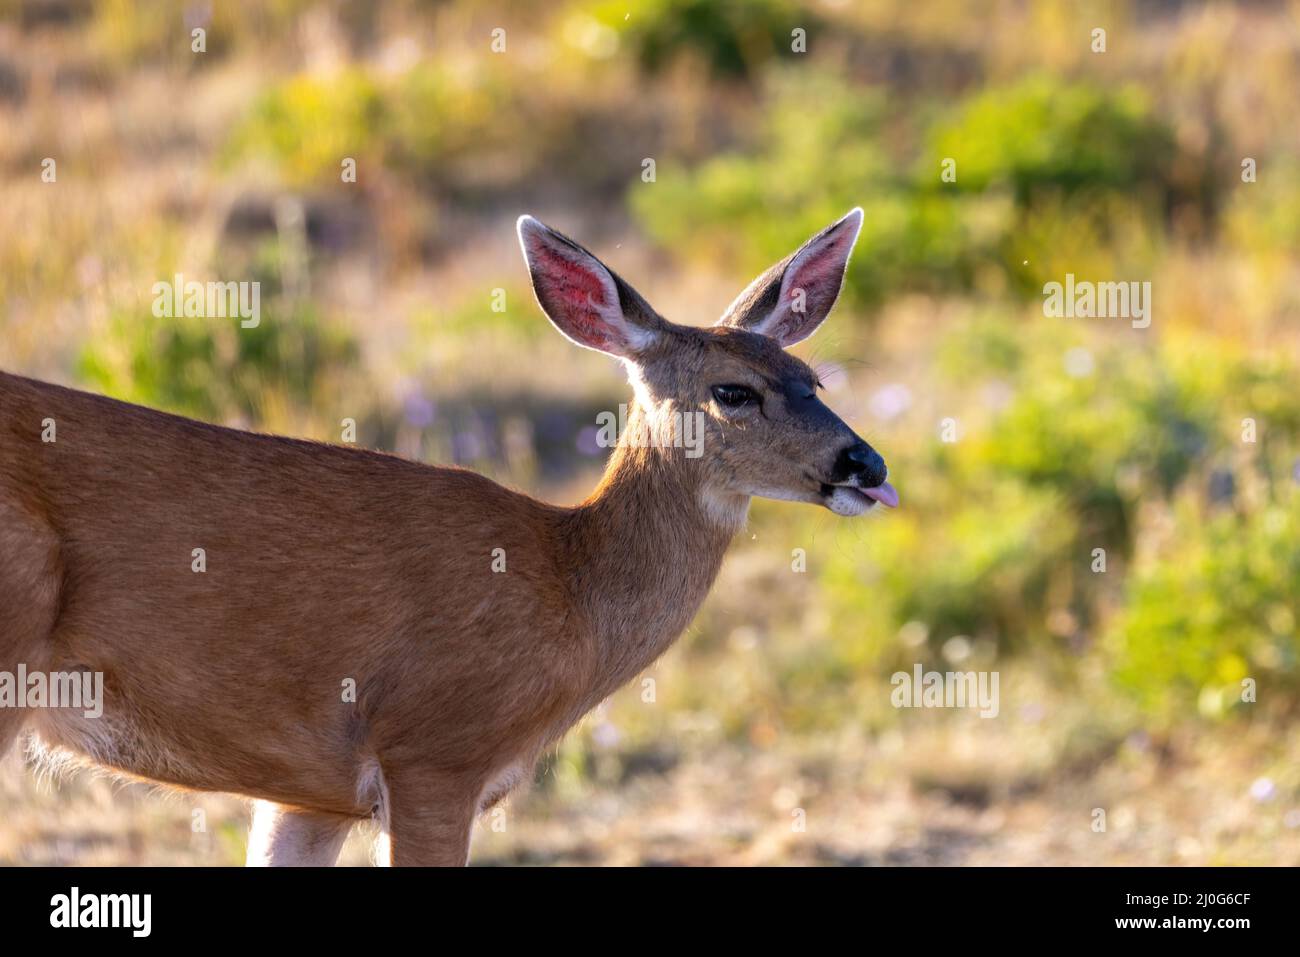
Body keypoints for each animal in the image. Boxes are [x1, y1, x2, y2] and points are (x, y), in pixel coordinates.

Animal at [0, 208, 896, 866]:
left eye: (814, 380)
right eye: (733, 391)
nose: (866, 462)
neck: (569, 589)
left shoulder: (305, 790)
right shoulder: (436, 748)